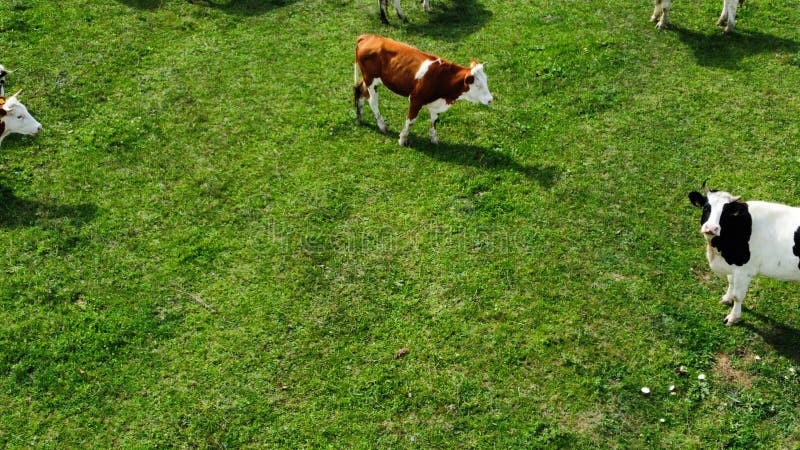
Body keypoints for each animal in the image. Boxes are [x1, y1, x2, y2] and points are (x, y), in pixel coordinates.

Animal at [354, 34, 493, 146]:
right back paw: (382, 126)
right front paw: (402, 139)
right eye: (478, 85)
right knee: (373, 101)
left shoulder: (437, 104)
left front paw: (434, 139)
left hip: (369, 79)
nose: (490, 100)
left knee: (360, 91)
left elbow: (434, 121)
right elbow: (411, 120)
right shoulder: (415, 99)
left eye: (486, 81)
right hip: (370, 79)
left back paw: (359, 117)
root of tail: (368, 36)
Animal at [689, 182, 800, 325]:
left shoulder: (744, 270)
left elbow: (738, 296)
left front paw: (733, 317)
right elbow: (730, 282)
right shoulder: (733, 267)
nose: (711, 228)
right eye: (706, 207)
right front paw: (727, 298)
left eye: (725, 212)